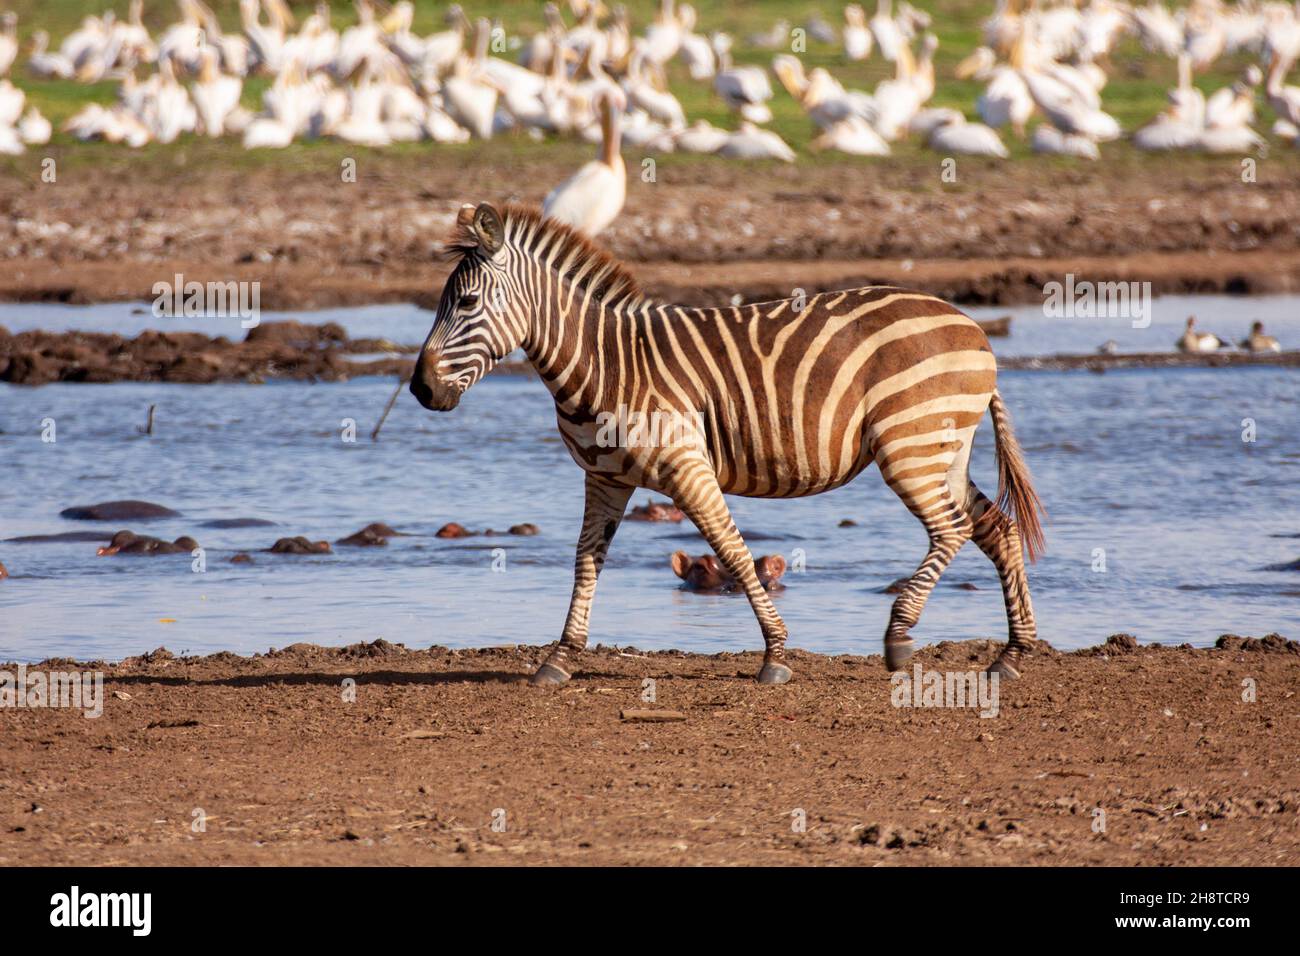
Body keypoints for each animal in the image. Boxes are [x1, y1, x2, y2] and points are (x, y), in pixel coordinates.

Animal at [411, 202, 1045, 686]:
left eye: (466, 303)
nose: (420, 389)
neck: (604, 364)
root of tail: (973, 329)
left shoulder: (687, 468)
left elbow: (734, 553)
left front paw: (776, 656)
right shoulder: (605, 477)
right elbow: (585, 562)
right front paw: (560, 659)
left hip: (910, 445)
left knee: (952, 529)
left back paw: (898, 637)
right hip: (943, 448)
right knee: (996, 527)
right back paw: (1012, 656)